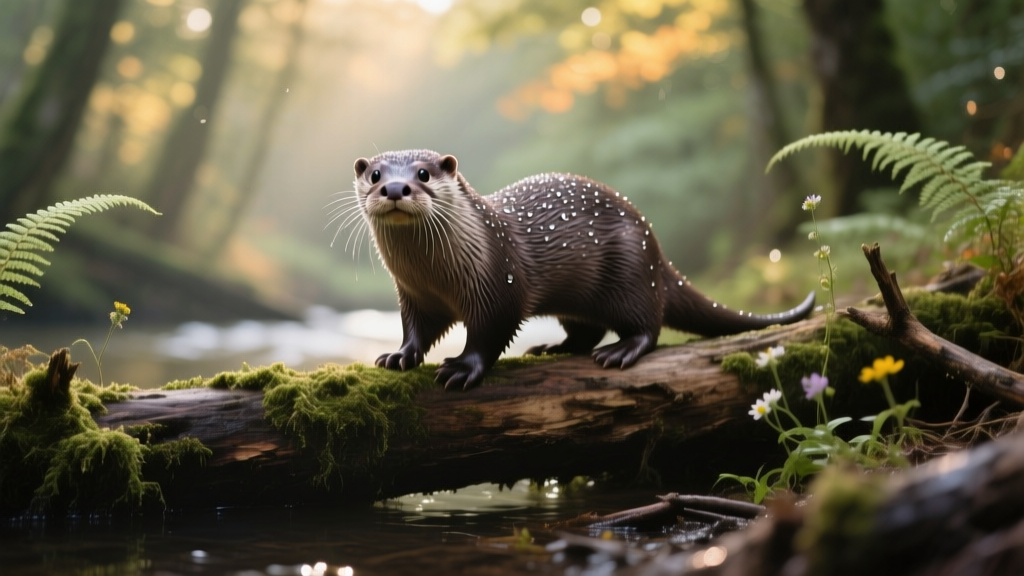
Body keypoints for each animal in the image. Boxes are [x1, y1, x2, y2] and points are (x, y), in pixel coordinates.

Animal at [345, 149, 814, 390]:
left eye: (423, 173)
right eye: (375, 174)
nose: (394, 188)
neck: (439, 278)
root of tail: (656, 247)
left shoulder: (500, 281)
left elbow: (491, 331)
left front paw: (463, 367)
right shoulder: (414, 295)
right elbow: (416, 330)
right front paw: (399, 355)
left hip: (631, 272)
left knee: (648, 325)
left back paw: (620, 351)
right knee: (587, 329)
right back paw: (552, 347)